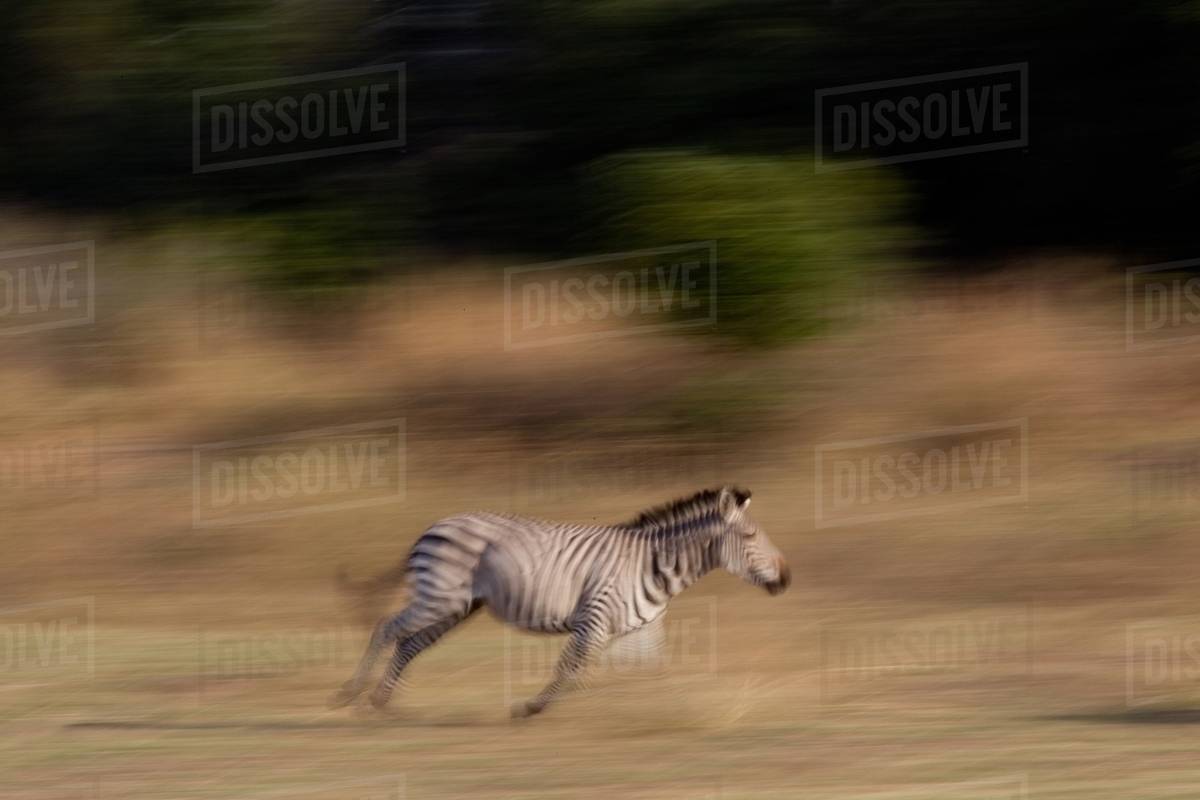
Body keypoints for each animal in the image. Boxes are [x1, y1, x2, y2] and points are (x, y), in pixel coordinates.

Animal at [329, 485, 790, 717]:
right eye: (751, 536)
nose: (786, 579)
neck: (654, 563)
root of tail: (435, 525)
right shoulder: (594, 618)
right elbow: (571, 666)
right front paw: (532, 707)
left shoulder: (635, 632)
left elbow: (652, 671)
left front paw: (676, 710)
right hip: (439, 597)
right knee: (388, 628)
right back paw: (352, 695)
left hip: (456, 606)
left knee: (409, 643)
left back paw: (381, 701)